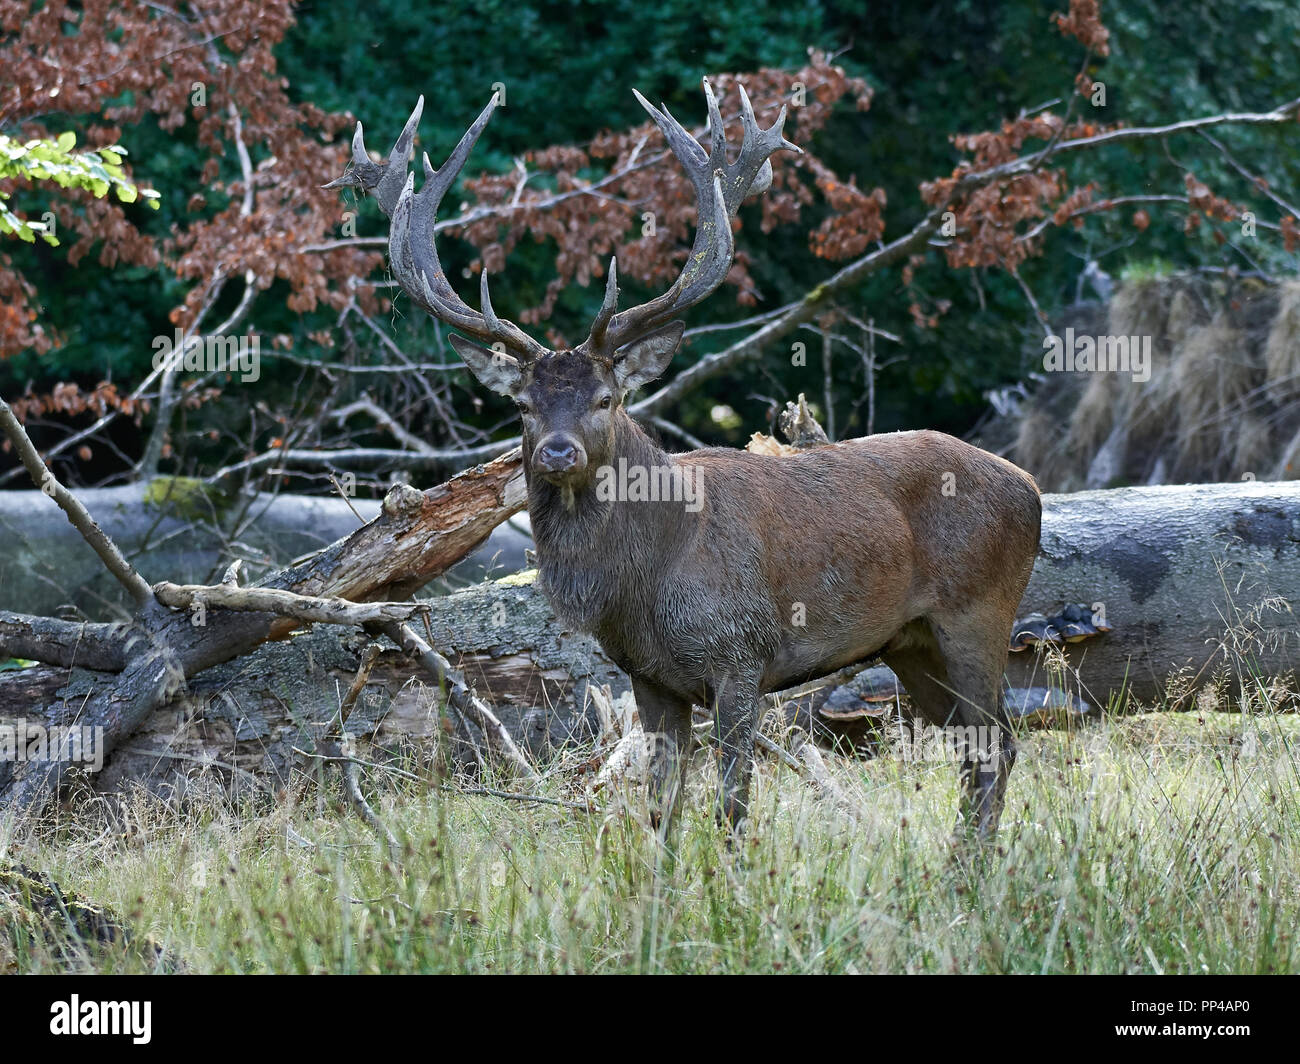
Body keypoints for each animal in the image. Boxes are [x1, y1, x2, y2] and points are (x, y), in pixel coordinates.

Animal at [325, 80, 1042, 841]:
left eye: (606, 397)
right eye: (521, 406)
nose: (557, 451)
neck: (647, 579)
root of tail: (1030, 488)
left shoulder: (741, 658)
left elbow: (730, 807)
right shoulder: (648, 678)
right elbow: (660, 810)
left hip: (978, 613)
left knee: (997, 743)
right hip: (911, 642)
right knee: (976, 748)